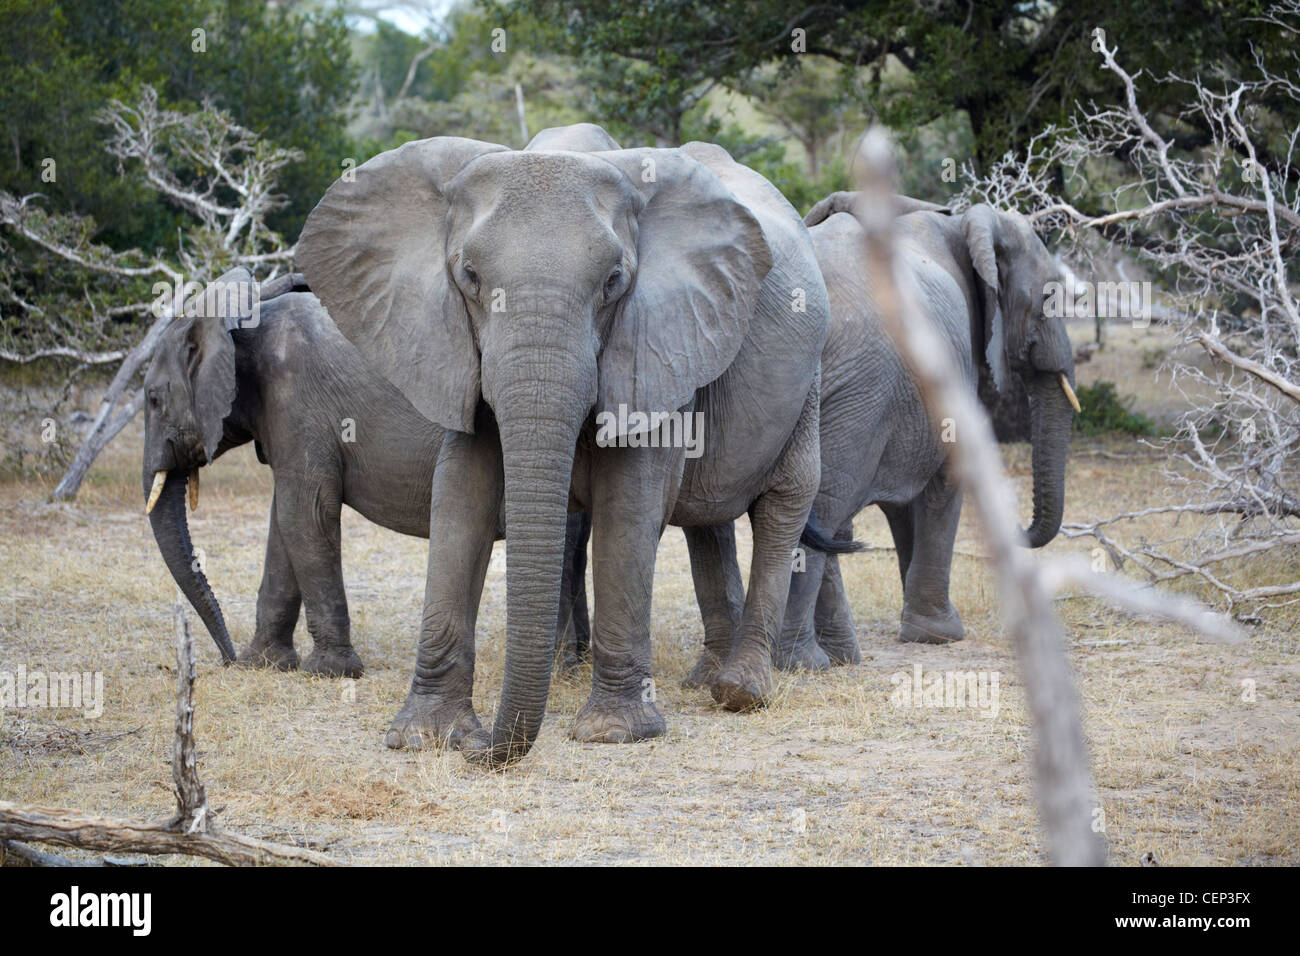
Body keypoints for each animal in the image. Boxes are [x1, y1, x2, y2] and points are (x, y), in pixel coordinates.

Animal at [142, 269, 591, 675]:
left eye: (152, 399)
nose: (226, 658)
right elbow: (284, 524)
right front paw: (264, 665)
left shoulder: (298, 405)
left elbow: (305, 513)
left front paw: (329, 672)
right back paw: (576, 666)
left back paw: (562, 670)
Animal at [295, 123, 839, 766]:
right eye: (469, 277)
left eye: (613, 283)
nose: (481, 748)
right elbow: (461, 495)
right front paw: (426, 737)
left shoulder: (654, 344)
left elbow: (630, 502)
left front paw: (613, 732)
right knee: (708, 525)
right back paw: (707, 679)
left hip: (810, 377)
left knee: (783, 504)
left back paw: (740, 691)